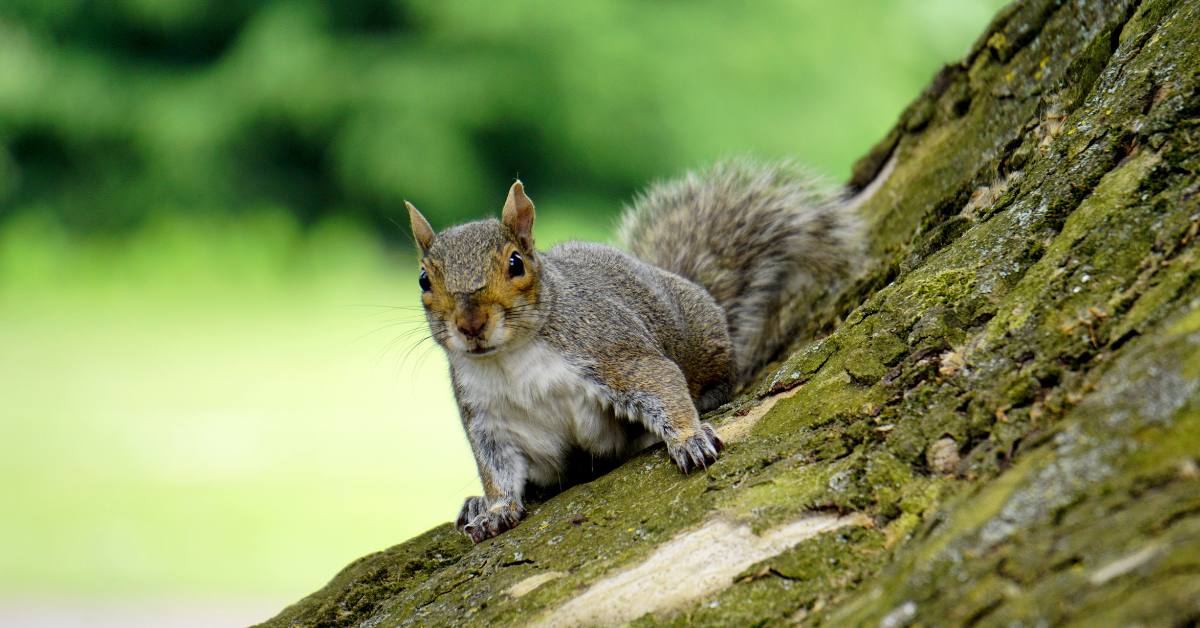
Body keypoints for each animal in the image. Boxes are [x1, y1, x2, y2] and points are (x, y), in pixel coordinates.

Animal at [405, 159, 862, 543]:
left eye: (516, 263)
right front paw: (496, 509)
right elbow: (497, 469)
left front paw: (689, 438)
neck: (510, 359)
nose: (470, 325)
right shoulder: (489, 418)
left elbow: (661, 383)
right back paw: (475, 504)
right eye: (424, 279)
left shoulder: (612, 351)